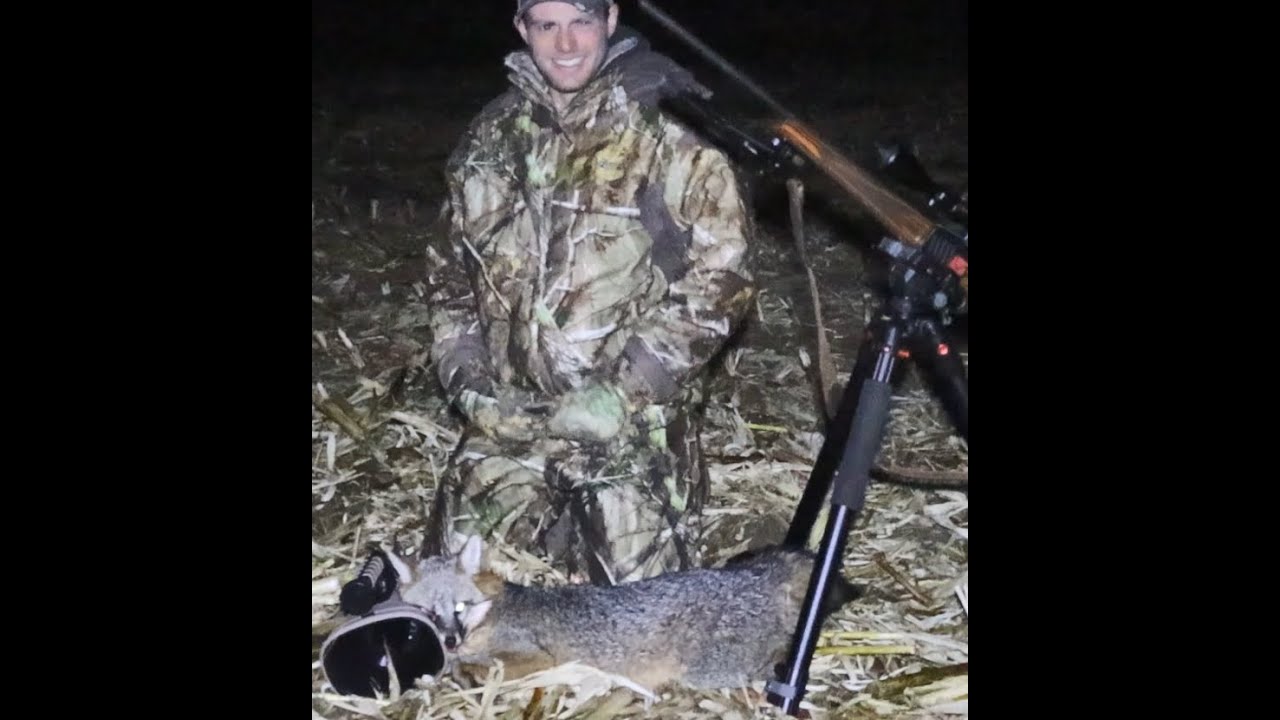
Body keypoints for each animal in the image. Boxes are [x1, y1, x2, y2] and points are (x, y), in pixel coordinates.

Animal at [392, 534, 863, 691]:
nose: (450, 639)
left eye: (460, 608)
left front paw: (465, 671)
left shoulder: (539, 657)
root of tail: (752, 577)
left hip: (707, 672)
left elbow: (489, 666)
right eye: (427, 612)